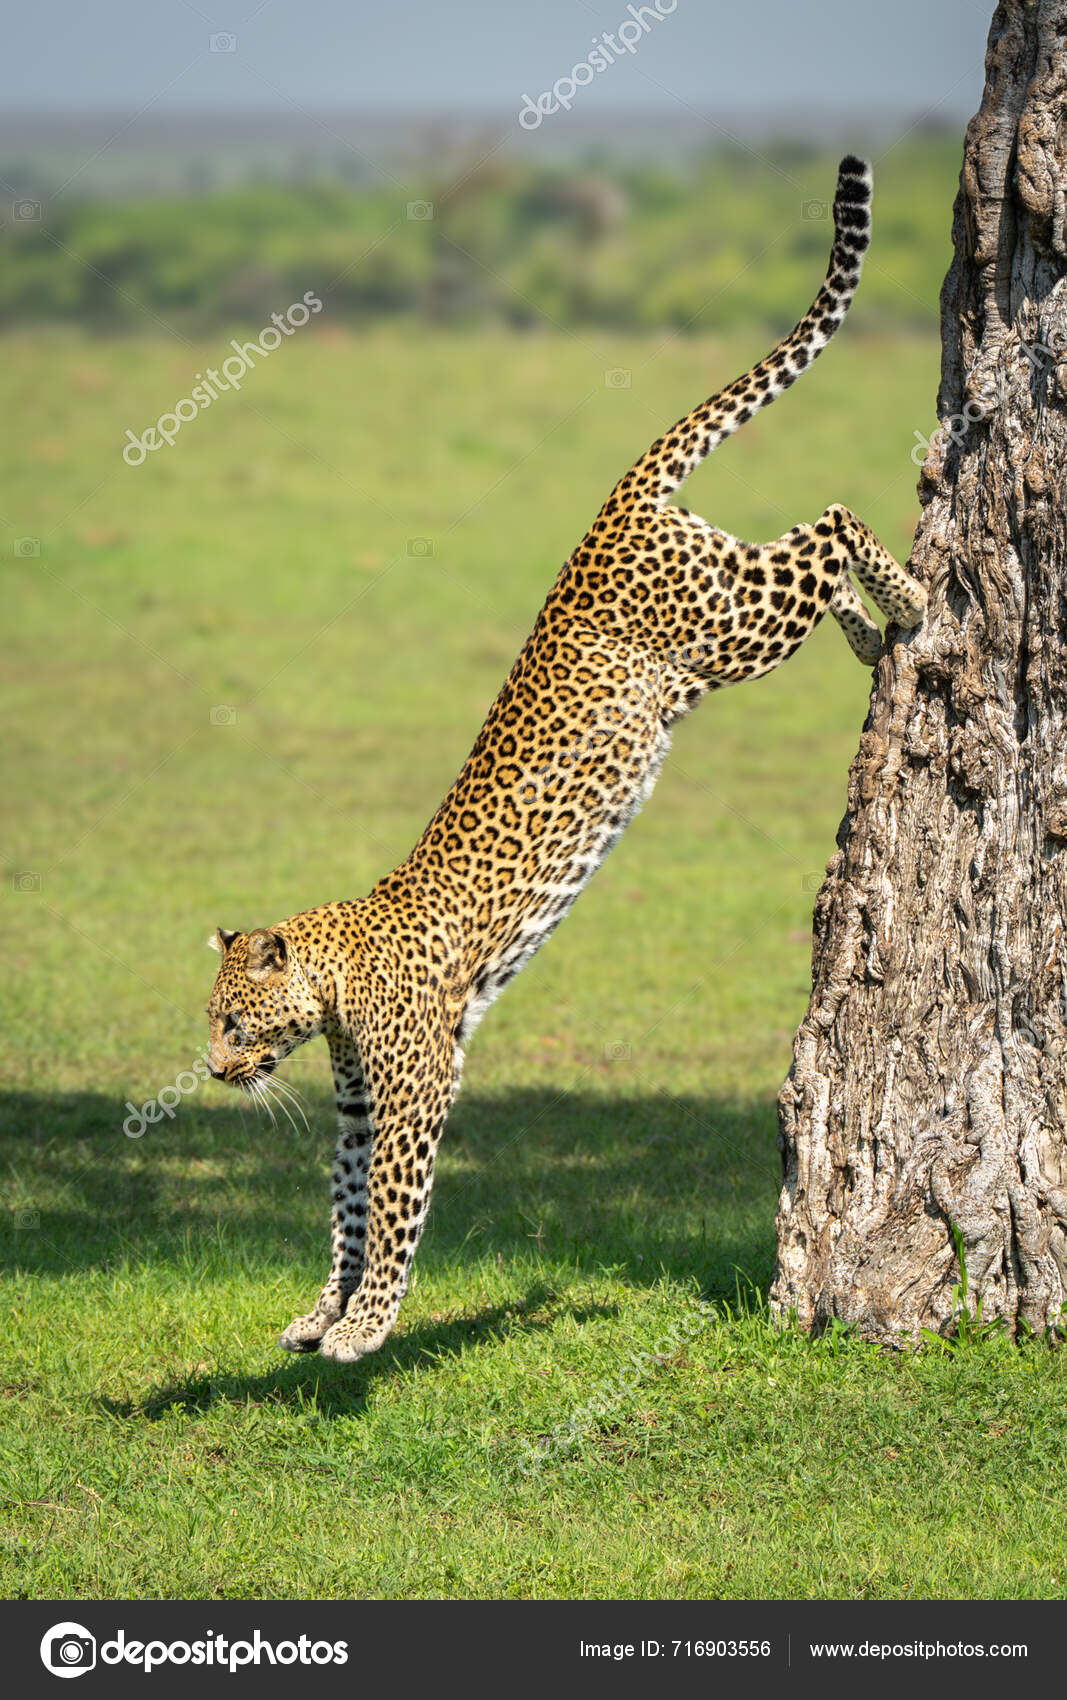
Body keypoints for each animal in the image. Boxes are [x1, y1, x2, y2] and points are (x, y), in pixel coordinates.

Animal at [204, 157, 926, 1362]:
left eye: (227, 1019)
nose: (211, 1070)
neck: (338, 979)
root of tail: (604, 512)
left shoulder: (416, 1089)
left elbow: (389, 1210)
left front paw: (366, 1327)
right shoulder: (358, 1107)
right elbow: (343, 1206)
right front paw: (320, 1311)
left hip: (730, 625)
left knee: (827, 521)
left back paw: (908, 603)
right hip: (729, 610)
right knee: (811, 537)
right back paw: (876, 636)